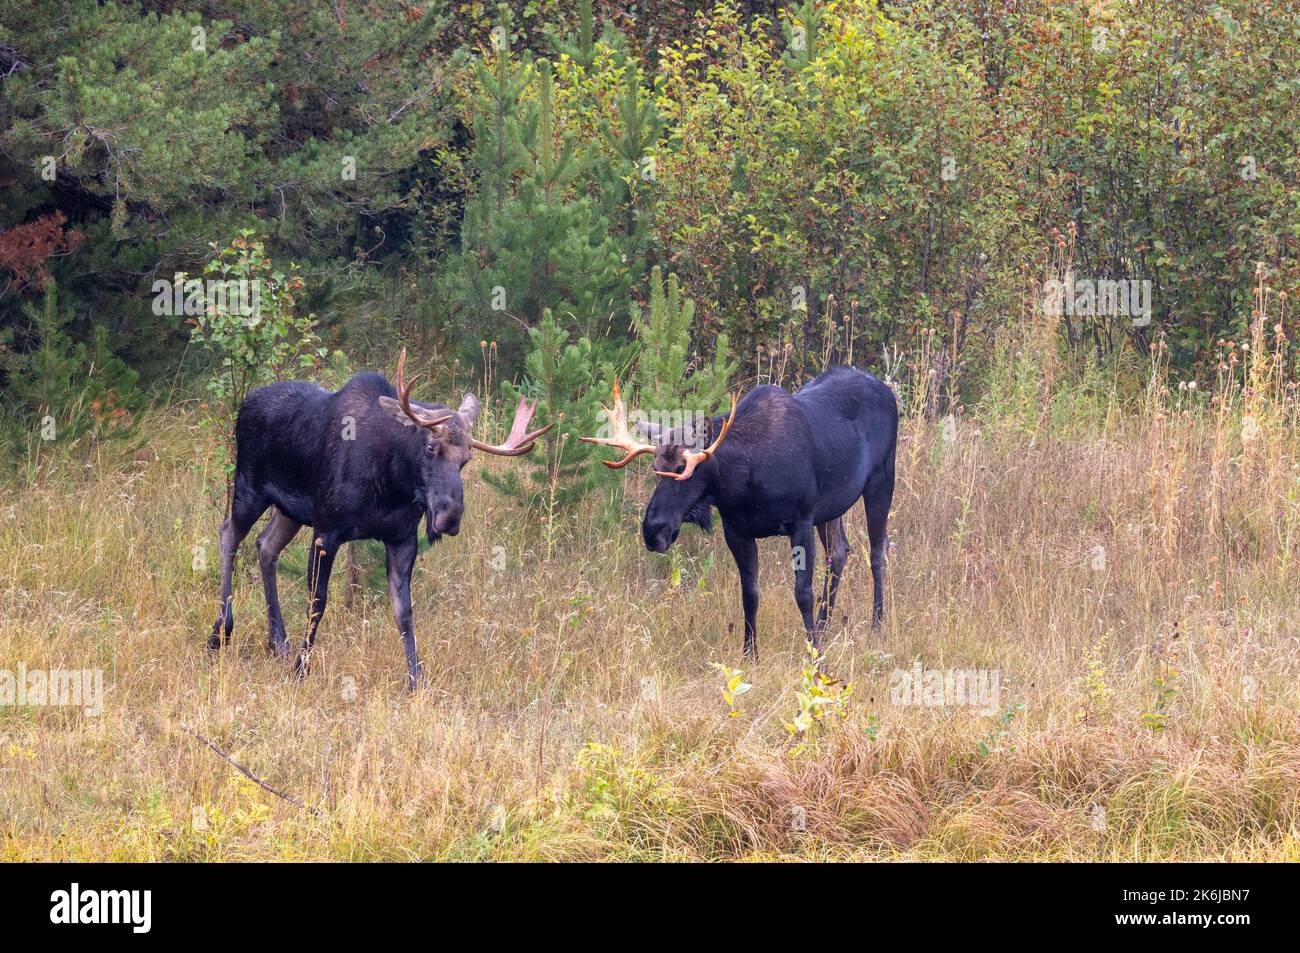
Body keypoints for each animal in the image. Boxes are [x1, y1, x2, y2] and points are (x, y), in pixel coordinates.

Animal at [207, 350, 553, 689]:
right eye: (431, 447)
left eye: (466, 460)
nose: (449, 517)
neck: (392, 484)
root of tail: (246, 402)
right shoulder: (326, 530)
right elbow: (316, 603)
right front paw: (301, 670)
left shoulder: (402, 538)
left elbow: (404, 611)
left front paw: (416, 680)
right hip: (250, 489)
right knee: (228, 534)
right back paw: (221, 632)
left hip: (289, 510)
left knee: (266, 546)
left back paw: (278, 641)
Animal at [581, 367, 897, 658]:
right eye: (655, 469)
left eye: (684, 469)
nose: (653, 531)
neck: (744, 480)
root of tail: (886, 389)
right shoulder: (736, 531)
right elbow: (750, 594)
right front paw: (749, 653)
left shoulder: (801, 520)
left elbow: (802, 593)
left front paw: (815, 654)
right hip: (833, 507)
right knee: (840, 552)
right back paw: (824, 627)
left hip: (881, 479)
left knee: (877, 552)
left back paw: (877, 626)